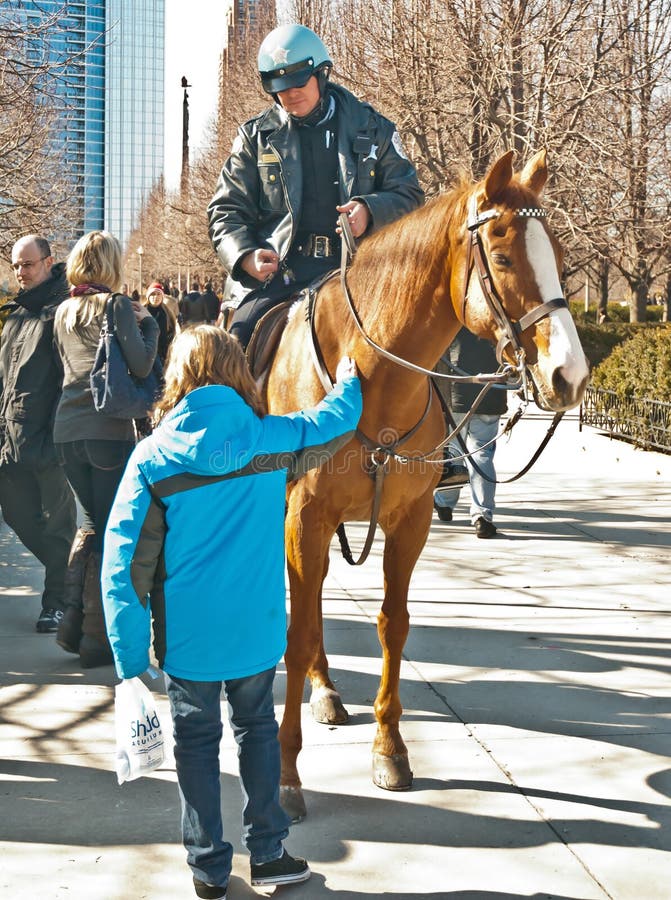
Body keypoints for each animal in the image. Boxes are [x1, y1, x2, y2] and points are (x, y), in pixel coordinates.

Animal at [264, 149, 590, 821]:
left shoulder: (408, 519)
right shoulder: (303, 516)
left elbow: (393, 622)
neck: (372, 378)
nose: (568, 375)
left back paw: (327, 691)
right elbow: (297, 632)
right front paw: (285, 773)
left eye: (559, 255)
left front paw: (390, 747)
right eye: (502, 257)